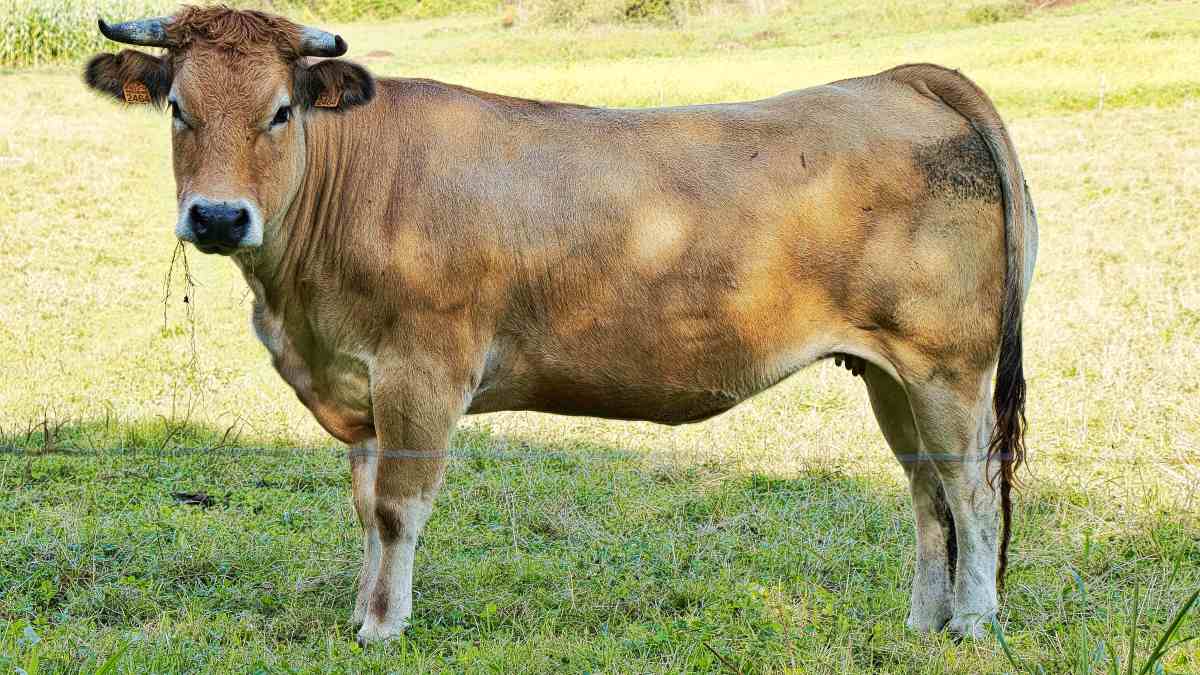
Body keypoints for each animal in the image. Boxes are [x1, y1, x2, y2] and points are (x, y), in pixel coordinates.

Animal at [84, 6, 1037, 645]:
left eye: (281, 111)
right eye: (177, 107)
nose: (217, 216)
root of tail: (895, 79)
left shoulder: (422, 369)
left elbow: (397, 507)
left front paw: (384, 627)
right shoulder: (361, 384)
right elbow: (362, 506)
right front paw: (362, 608)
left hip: (948, 366)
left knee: (971, 488)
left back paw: (972, 622)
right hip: (889, 373)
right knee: (926, 494)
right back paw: (922, 621)